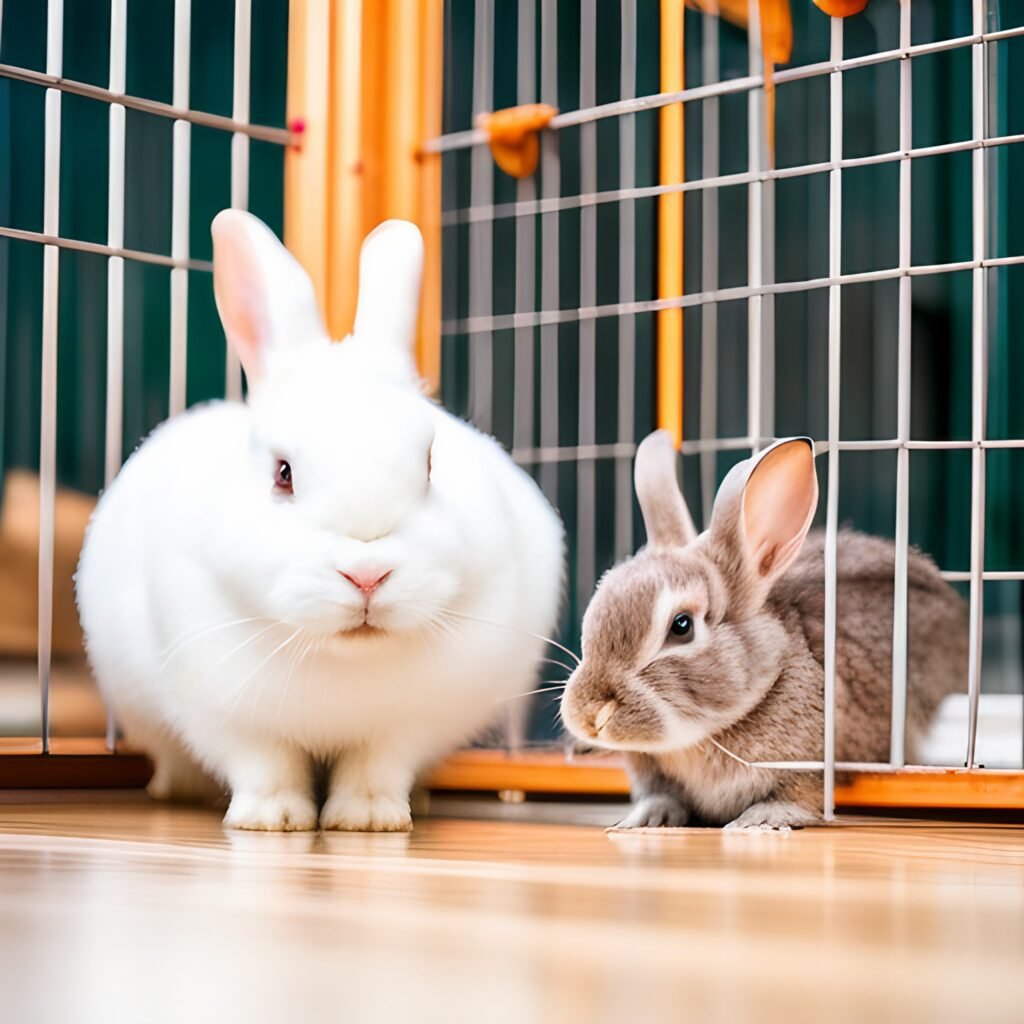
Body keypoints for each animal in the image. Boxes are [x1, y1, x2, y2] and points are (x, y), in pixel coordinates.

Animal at [76, 211, 565, 832]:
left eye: (431, 464)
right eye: (282, 474)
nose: (367, 575)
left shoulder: (406, 729)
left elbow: (377, 768)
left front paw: (369, 820)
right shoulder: (231, 717)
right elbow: (265, 766)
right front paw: (271, 820)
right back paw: (176, 790)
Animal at [560, 430, 966, 830]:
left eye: (681, 626)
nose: (591, 717)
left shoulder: (813, 764)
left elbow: (797, 796)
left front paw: (758, 821)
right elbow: (660, 794)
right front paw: (644, 819)